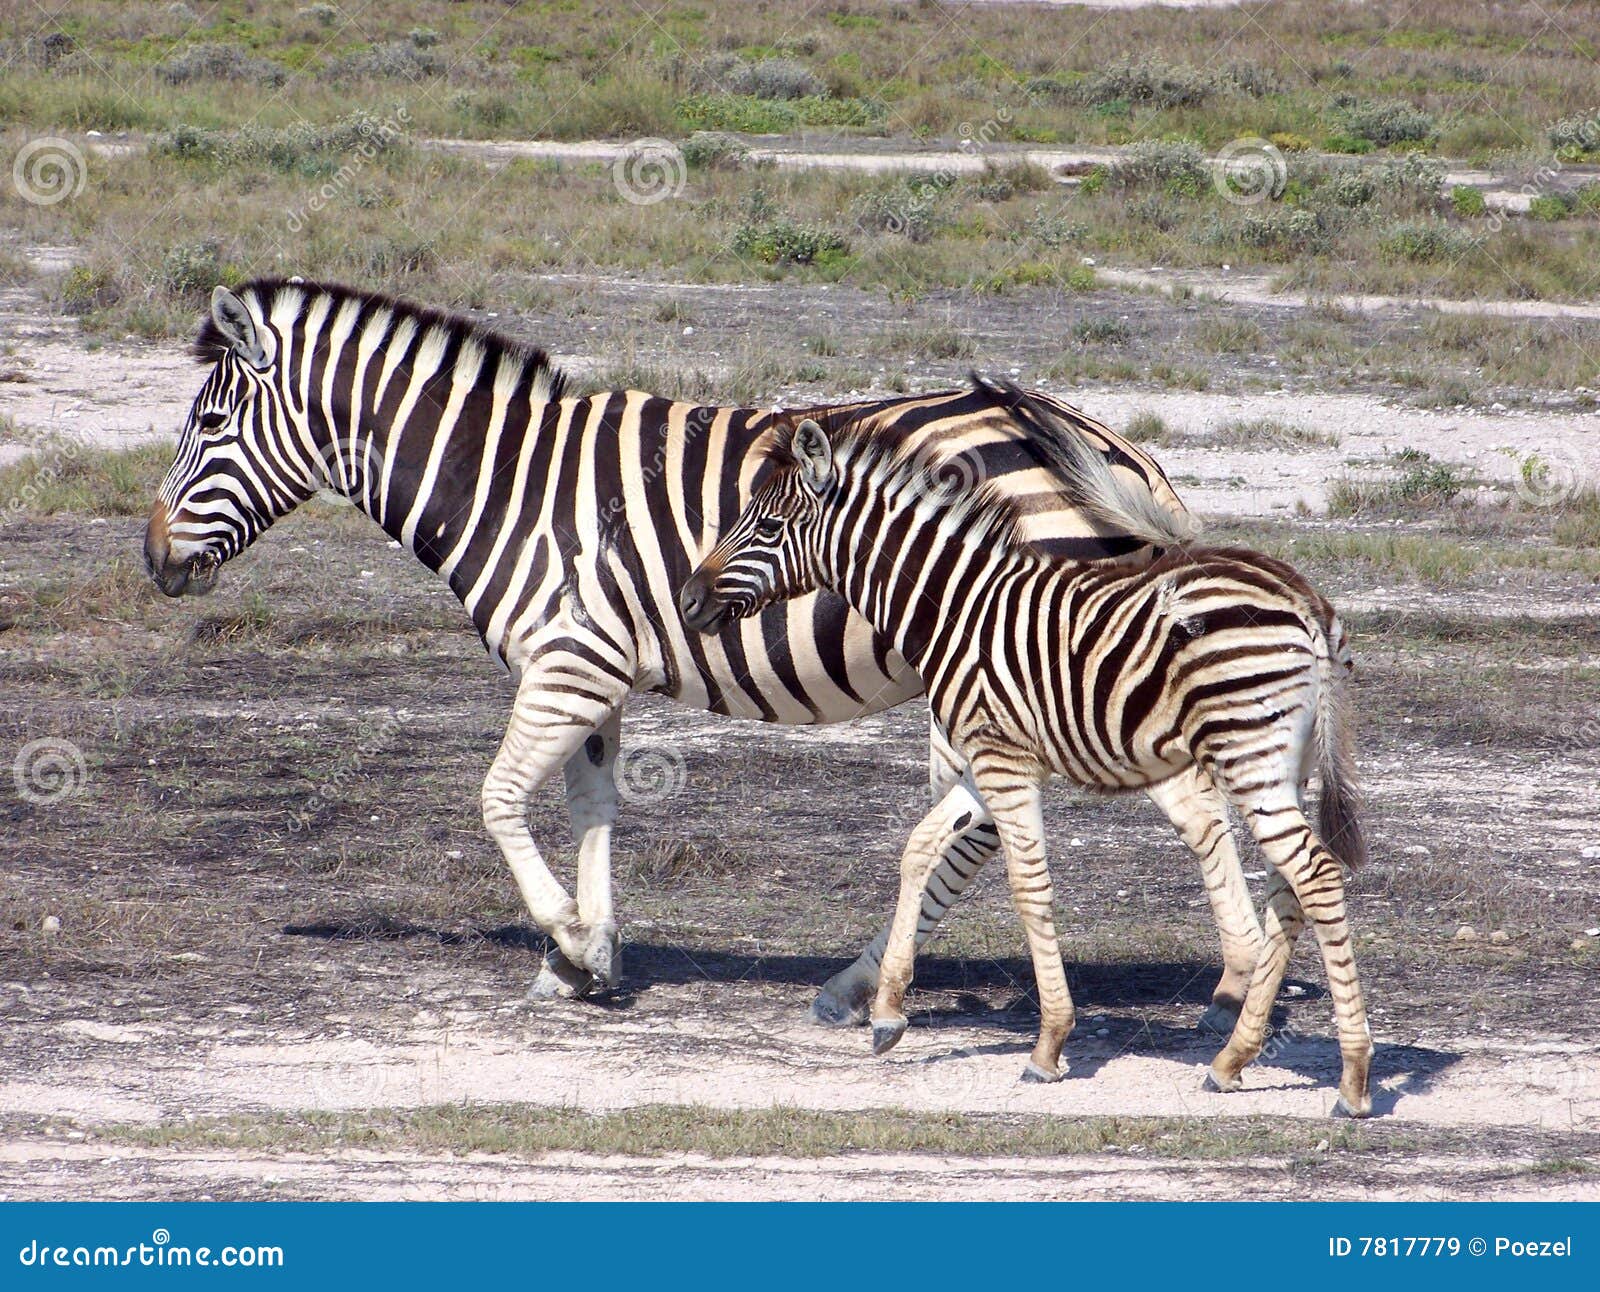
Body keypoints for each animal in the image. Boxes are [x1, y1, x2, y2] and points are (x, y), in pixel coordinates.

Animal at [142, 278, 1264, 1029]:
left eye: (208, 421)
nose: (152, 559)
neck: (501, 478)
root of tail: (1108, 445)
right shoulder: (591, 672)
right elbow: (590, 803)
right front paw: (588, 958)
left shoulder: (567, 660)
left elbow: (498, 799)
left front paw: (570, 937)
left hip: (1035, 655)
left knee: (1081, 808)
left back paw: (1220, 989)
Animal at [678, 380, 1374, 1117]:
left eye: (767, 527)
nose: (689, 599)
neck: (952, 605)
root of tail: (1306, 603)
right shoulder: (986, 757)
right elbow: (919, 848)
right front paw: (889, 1011)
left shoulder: (1001, 759)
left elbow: (1027, 883)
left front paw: (1048, 1045)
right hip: (1284, 764)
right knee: (1290, 889)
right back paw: (1232, 1059)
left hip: (1249, 753)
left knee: (1316, 875)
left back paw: (1353, 1081)